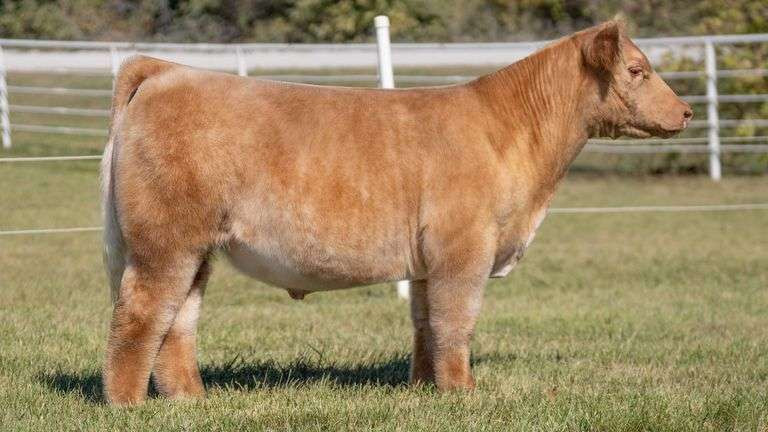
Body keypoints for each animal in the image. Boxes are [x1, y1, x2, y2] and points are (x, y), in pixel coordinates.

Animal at [101, 21, 692, 405]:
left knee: (178, 320)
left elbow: (426, 323)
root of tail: (164, 71)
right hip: (164, 242)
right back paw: (129, 405)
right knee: (141, 313)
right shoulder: (463, 249)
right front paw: (463, 394)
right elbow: (456, 322)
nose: (686, 111)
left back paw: (191, 400)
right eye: (637, 69)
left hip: (195, 247)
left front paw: (426, 390)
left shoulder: (429, 262)